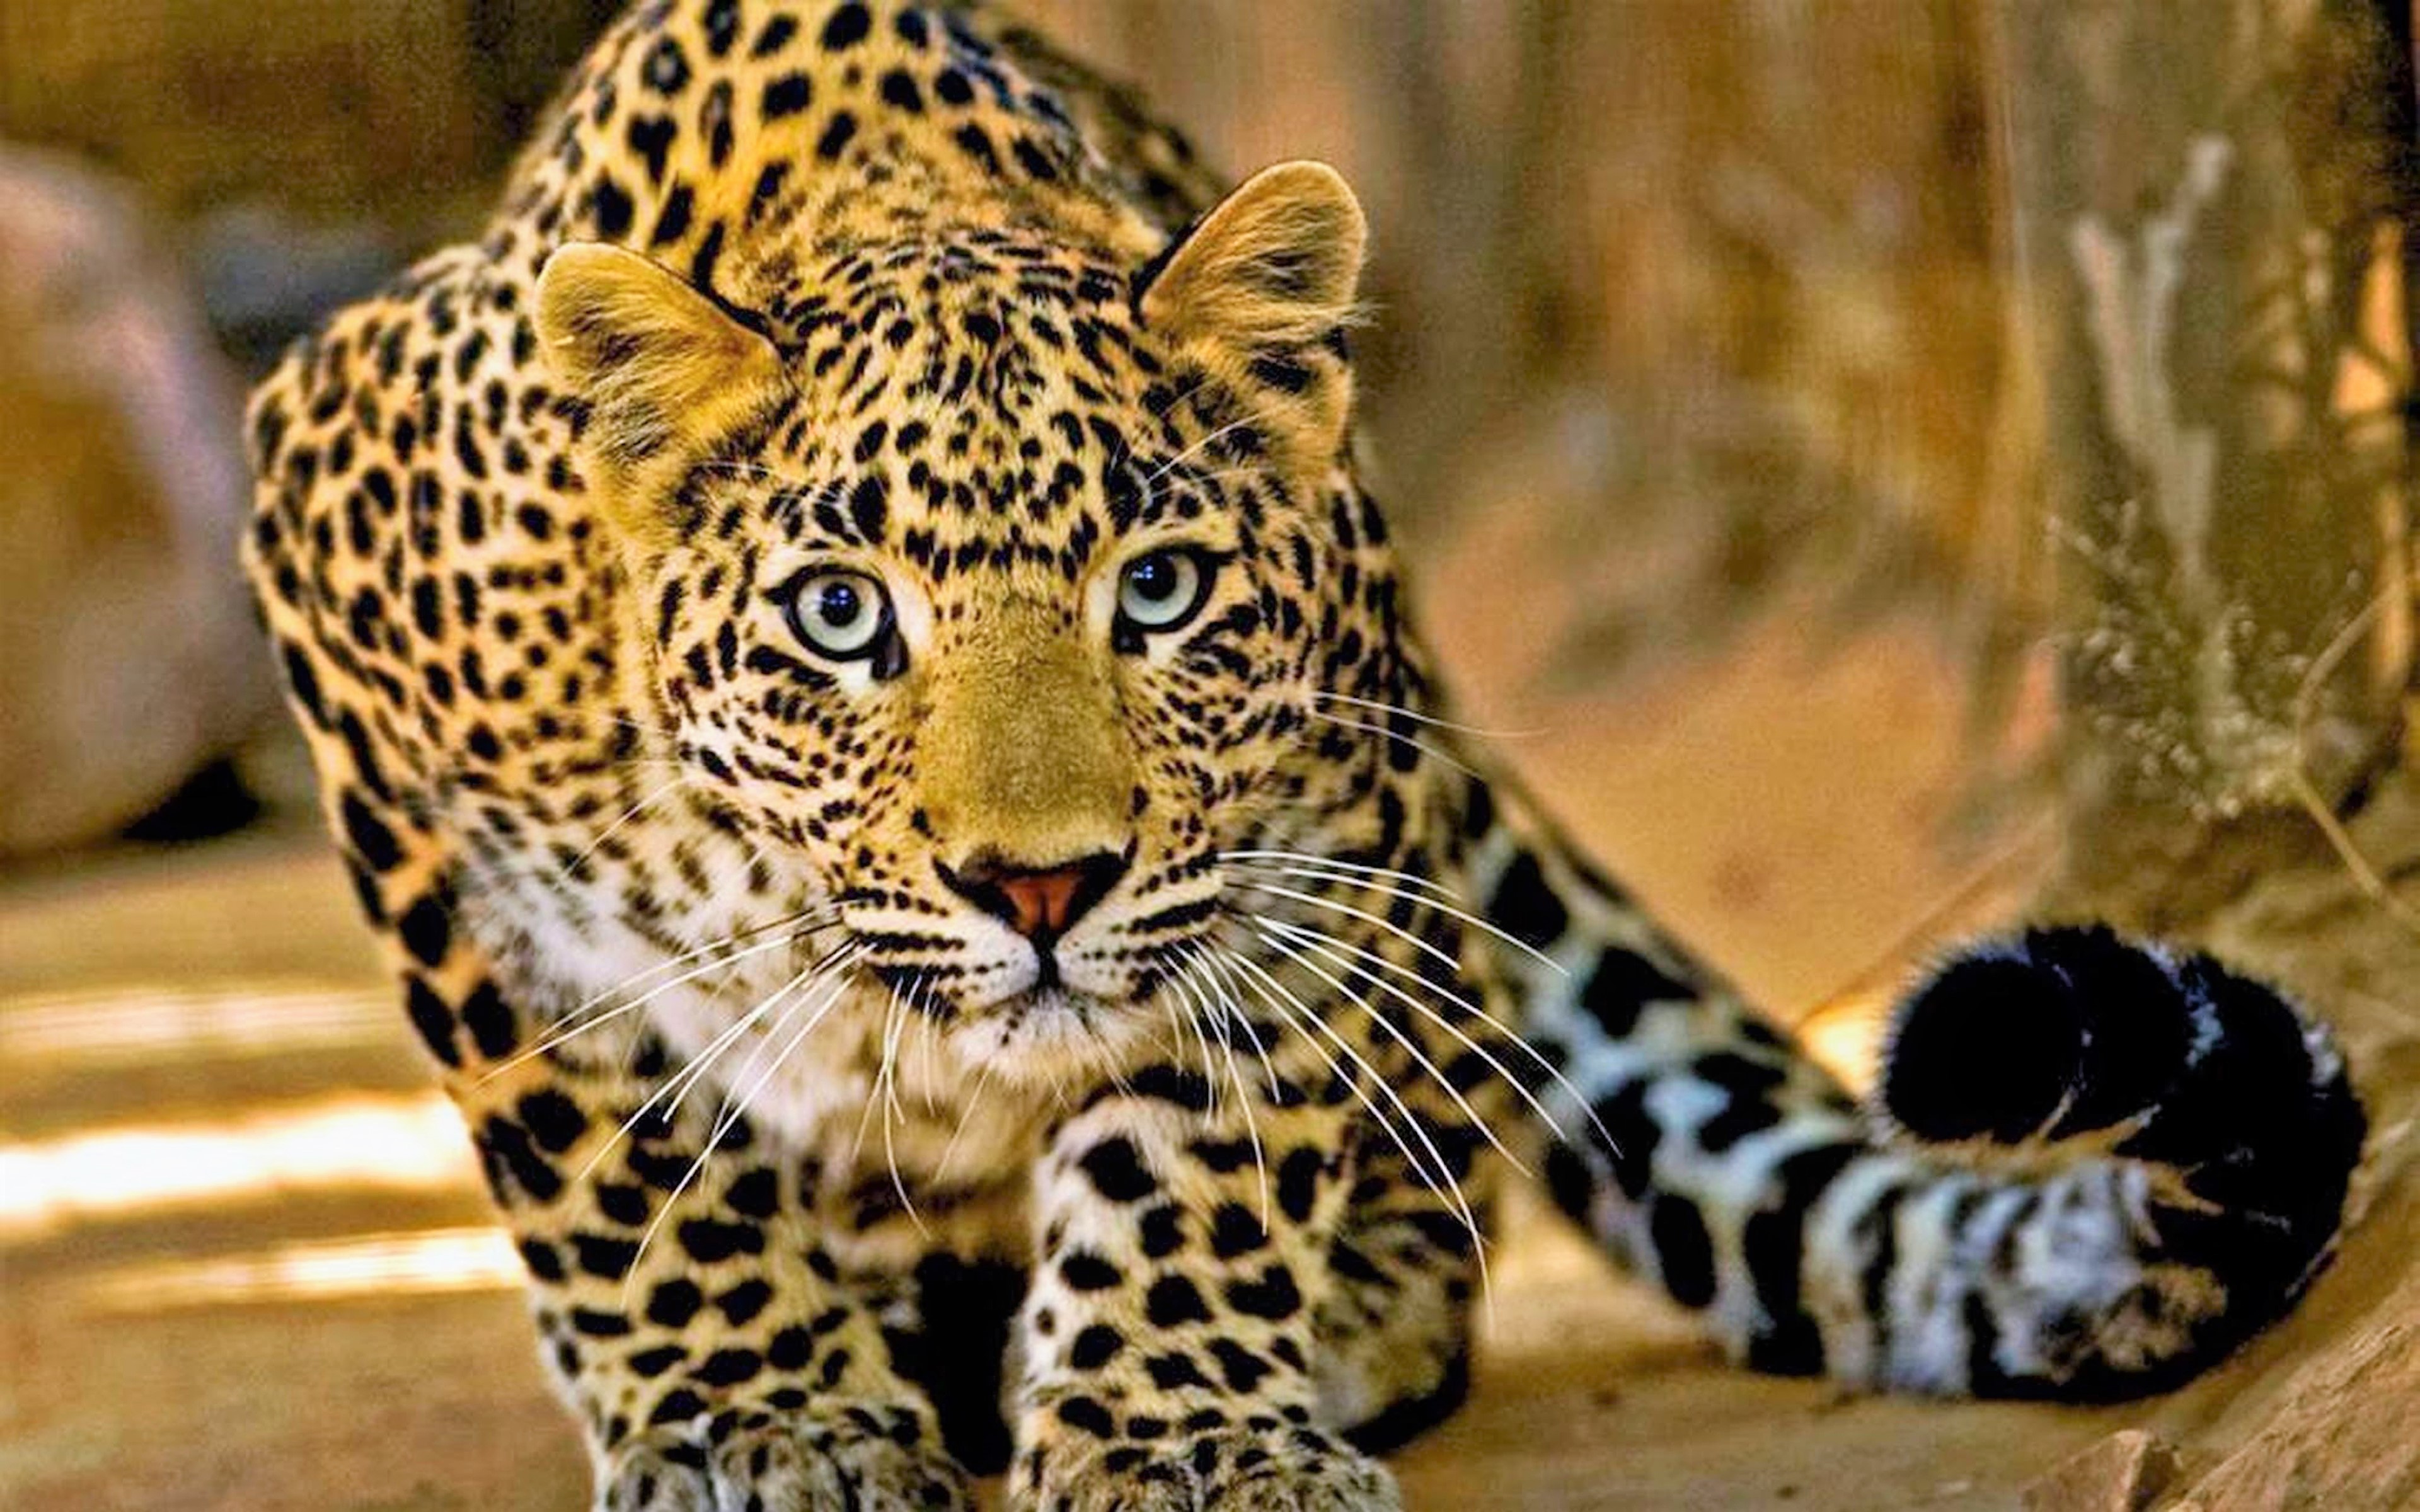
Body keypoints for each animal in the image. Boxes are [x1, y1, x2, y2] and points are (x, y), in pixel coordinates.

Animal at [241, 2, 2369, 1507]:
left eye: (1163, 589)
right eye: (841, 616)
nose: (1037, 886)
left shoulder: (1311, 814)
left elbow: (1200, 1136)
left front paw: (1176, 1433)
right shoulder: (341, 590)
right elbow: (601, 1141)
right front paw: (754, 1418)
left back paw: (1320, 1310)